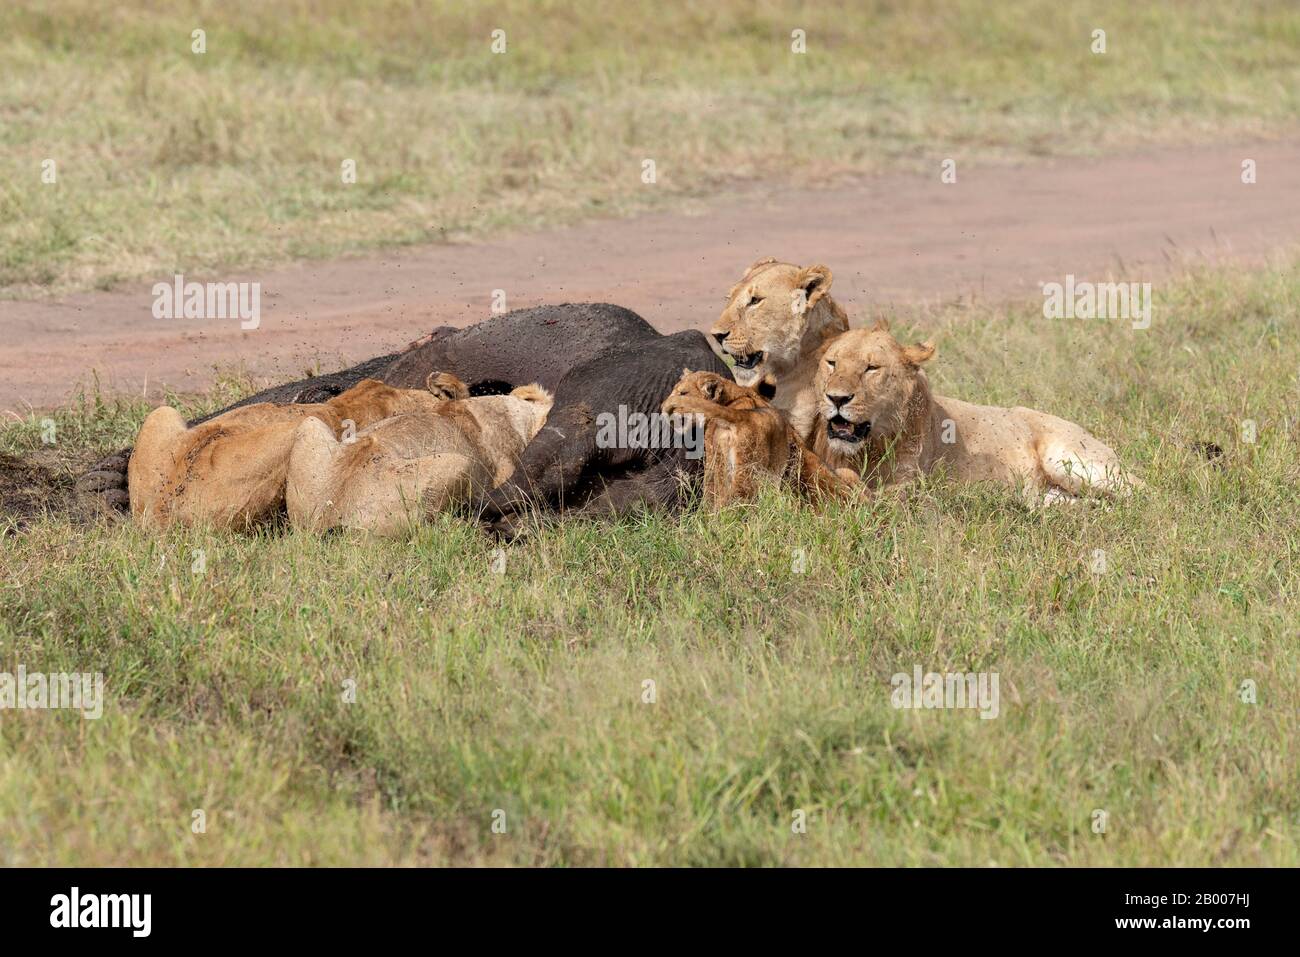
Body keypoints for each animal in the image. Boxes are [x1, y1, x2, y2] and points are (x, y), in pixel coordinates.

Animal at [810, 324, 1139, 503]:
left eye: (871, 368)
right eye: (832, 363)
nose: (836, 398)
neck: (870, 447)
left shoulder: (914, 483)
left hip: (1068, 460)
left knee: (1139, 490)